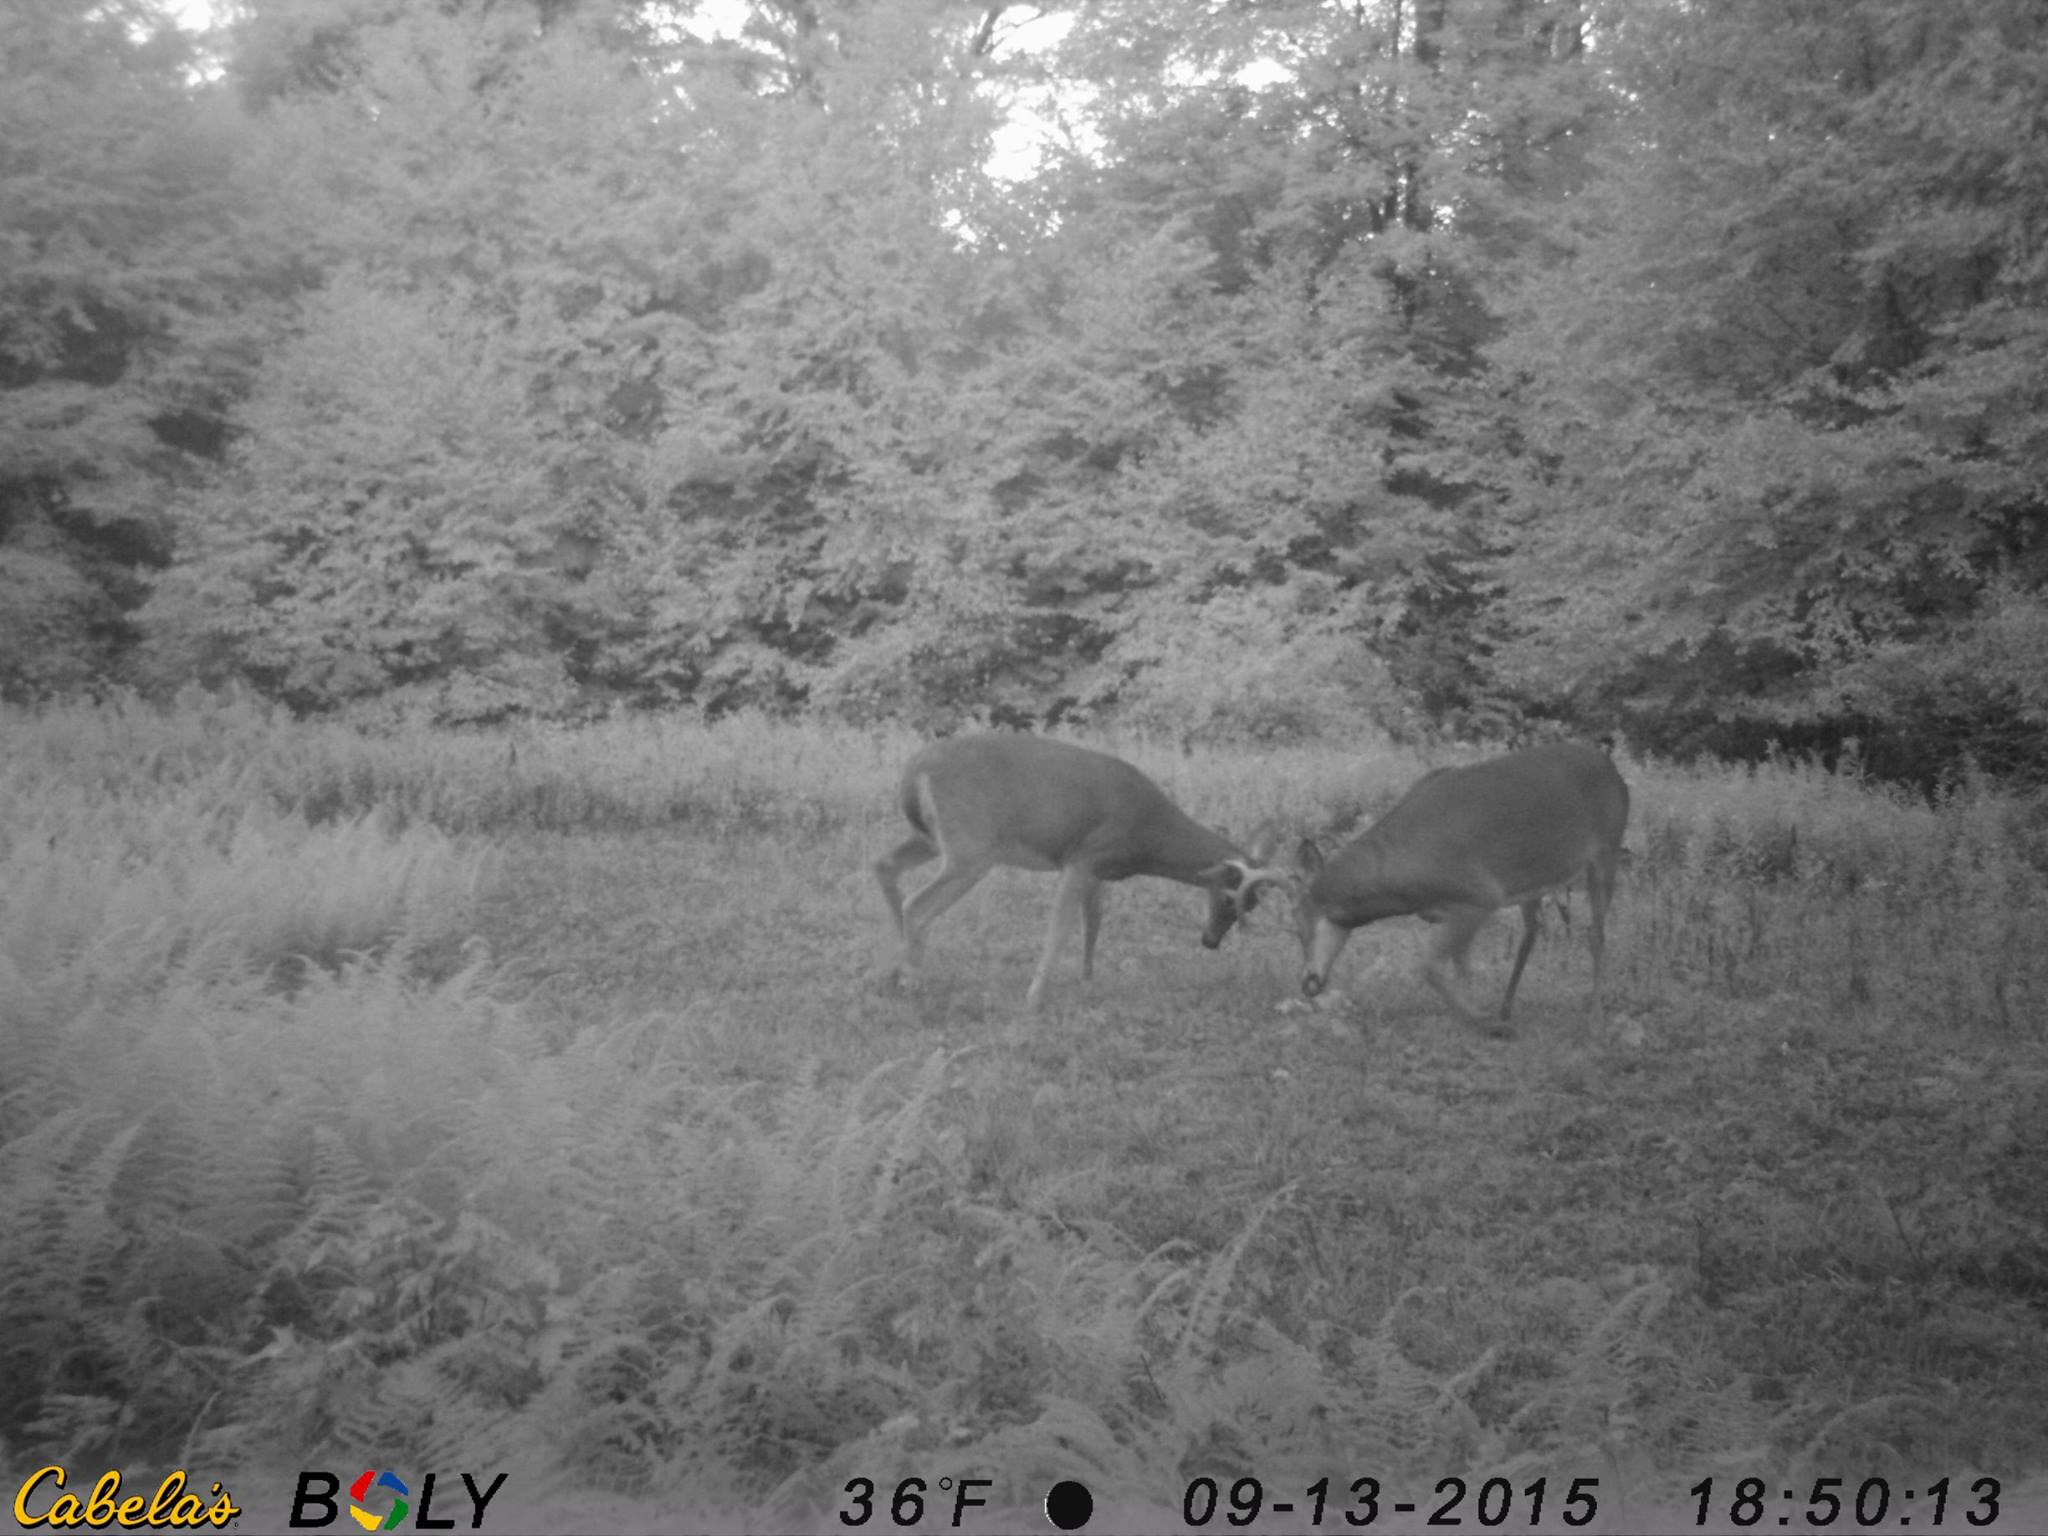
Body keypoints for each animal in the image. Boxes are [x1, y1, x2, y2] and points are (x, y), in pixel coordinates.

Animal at [873, 733, 1289, 1010]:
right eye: (1230, 898)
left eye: (1251, 905)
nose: (1211, 941)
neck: (1148, 837)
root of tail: (914, 772)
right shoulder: (1082, 857)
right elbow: (1060, 929)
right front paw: (1035, 997)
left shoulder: (1099, 870)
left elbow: (1094, 922)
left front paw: (1087, 981)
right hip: (970, 848)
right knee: (916, 902)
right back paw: (912, 980)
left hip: (932, 837)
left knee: (883, 866)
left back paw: (892, 971)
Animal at [1288, 742, 1630, 1032]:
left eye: (1296, 923)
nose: (1307, 981)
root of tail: (1616, 774)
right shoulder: (1454, 910)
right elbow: (1462, 967)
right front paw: (1478, 1017)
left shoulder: (1482, 895)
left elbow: (1430, 966)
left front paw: (1481, 1021)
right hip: (1534, 880)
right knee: (1533, 931)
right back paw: (1506, 1008)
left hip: (1606, 851)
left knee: (1595, 934)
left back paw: (1595, 1020)